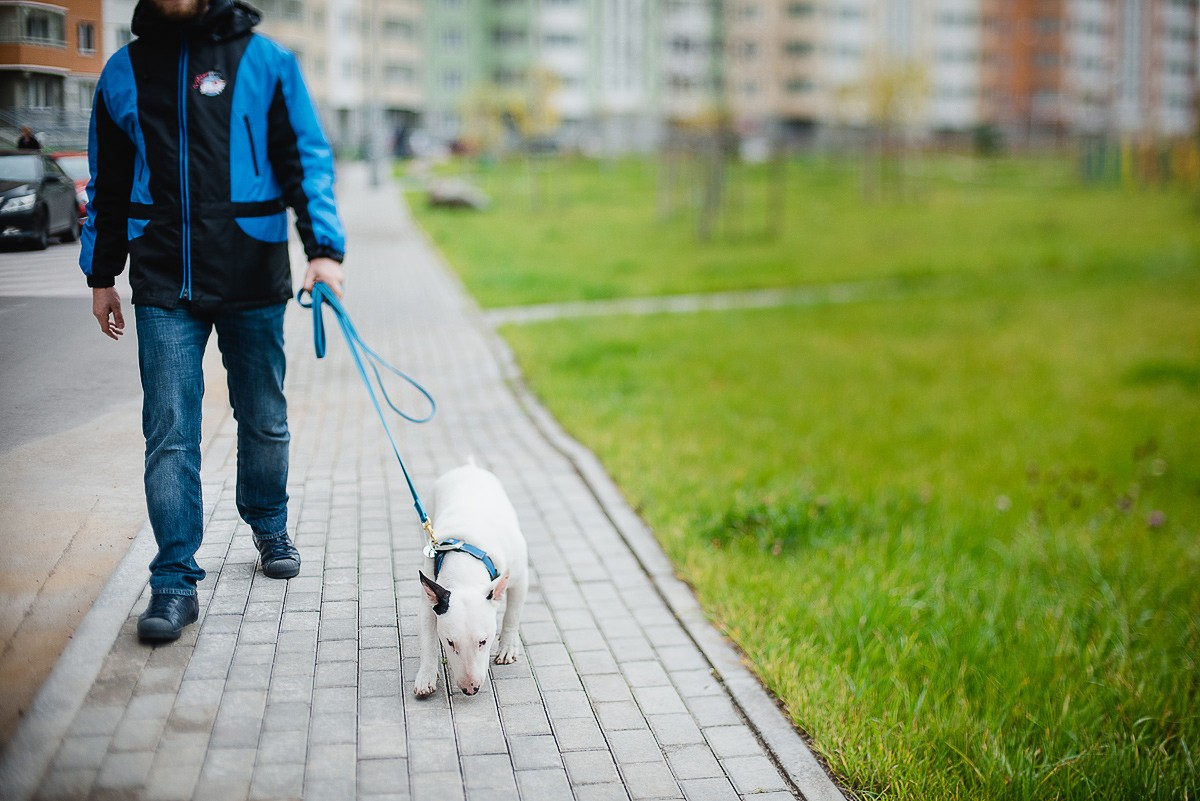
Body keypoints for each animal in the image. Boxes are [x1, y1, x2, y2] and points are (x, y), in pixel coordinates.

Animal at [415, 460, 528, 695]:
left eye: (483, 641)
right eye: (450, 642)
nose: (470, 689)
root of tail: (469, 467)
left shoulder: (520, 578)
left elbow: (512, 615)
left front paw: (507, 647)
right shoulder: (429, 599)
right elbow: (428, 638)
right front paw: (426, 676)